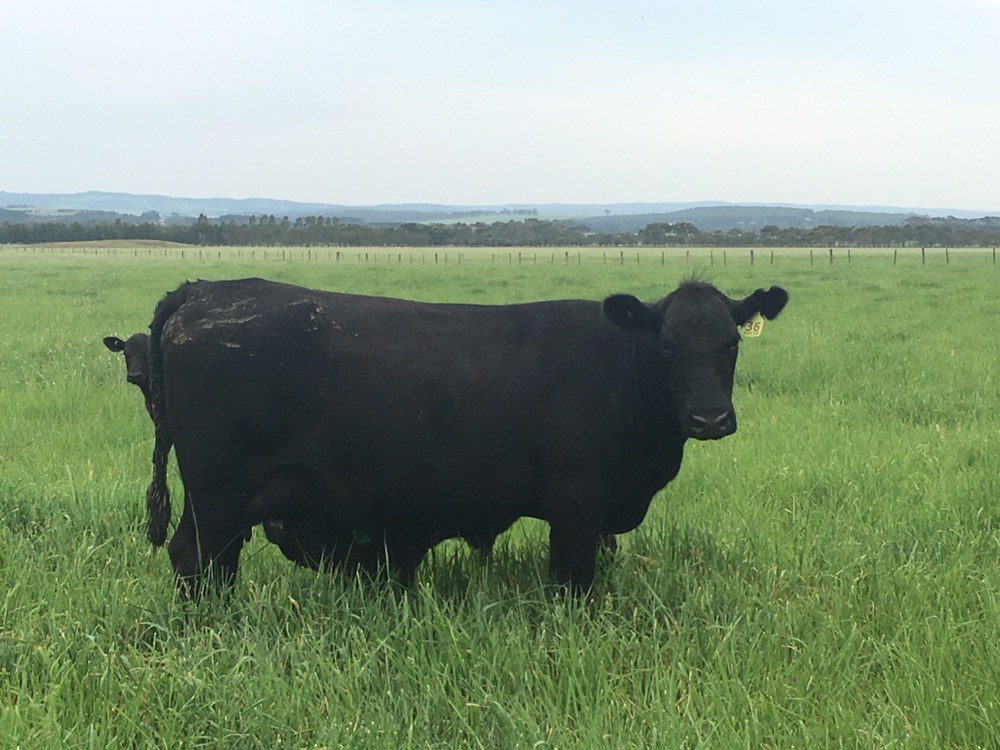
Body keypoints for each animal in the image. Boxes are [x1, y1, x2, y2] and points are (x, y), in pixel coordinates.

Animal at [144, 277, 788, 596]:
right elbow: (573, 579)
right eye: (667, 346)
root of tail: (203, 291)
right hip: (218, 493)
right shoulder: (577, 501)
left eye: (731, 343)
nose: (710, 419)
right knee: (197, 559)